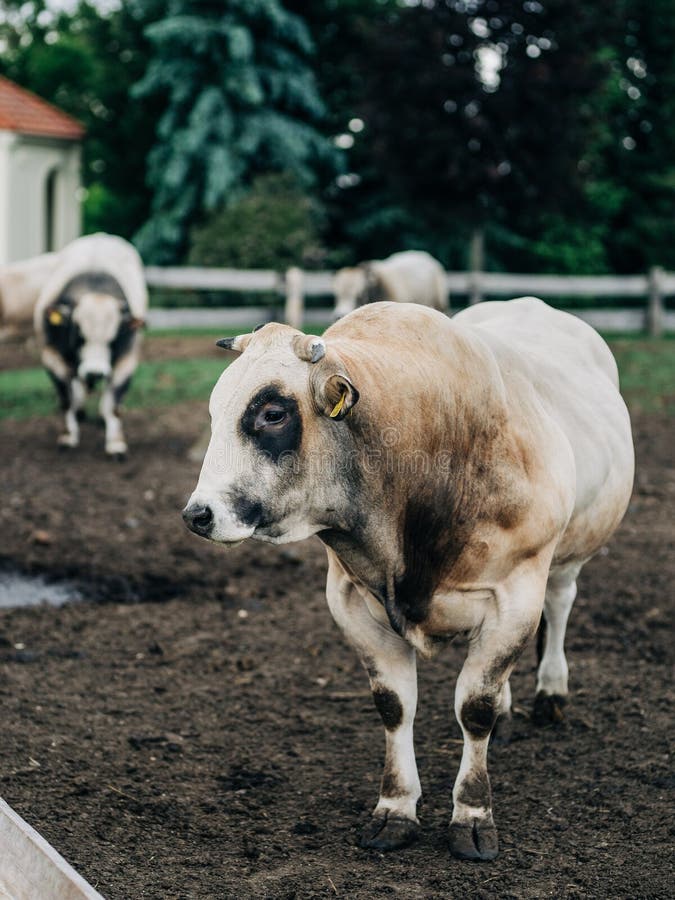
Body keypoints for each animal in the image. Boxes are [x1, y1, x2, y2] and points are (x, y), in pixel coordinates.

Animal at [34, 233, 147, 457]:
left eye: (113, 339)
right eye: (79, 336)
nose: (95, 372)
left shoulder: (127, 360)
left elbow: (114, 405)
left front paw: (116, 443)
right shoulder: (51, 356)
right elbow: (66, 399)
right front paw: (68, 436)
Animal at [182, 298, 634, 860]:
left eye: (272, 413)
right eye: (215, 411)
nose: (198, 514)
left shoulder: (515, 594)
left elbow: (475, 708)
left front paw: (472, 815)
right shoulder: (353, 602)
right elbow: (396, 707)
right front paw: (395, 809)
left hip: (567, 555)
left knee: (561, 603)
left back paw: (552, 693)